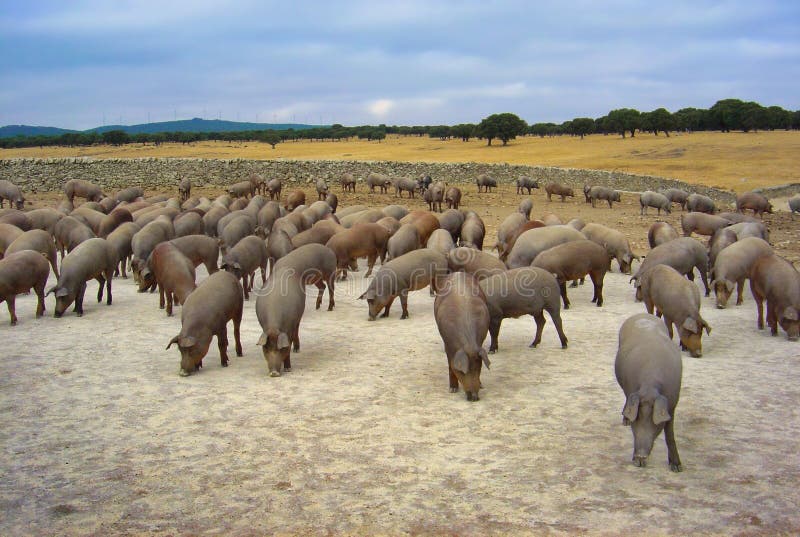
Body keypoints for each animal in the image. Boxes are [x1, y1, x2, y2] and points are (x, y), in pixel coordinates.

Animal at [433, 272, 491, 401]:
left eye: (479, 368)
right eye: (462, 371)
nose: (474, 397)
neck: (468, 346)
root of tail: (458, 272)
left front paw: (481, 385)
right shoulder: (448, 345)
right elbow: (450, 365)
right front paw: (453, 390)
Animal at [615, 312, 683, 471]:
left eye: (654, 422)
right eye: (637, 418)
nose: (641, 455)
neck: (650, 387)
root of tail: (642, 314)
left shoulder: (673, 402)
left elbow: (669, 432)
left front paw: (677, 467)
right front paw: (637, 462)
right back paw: (625, 421)